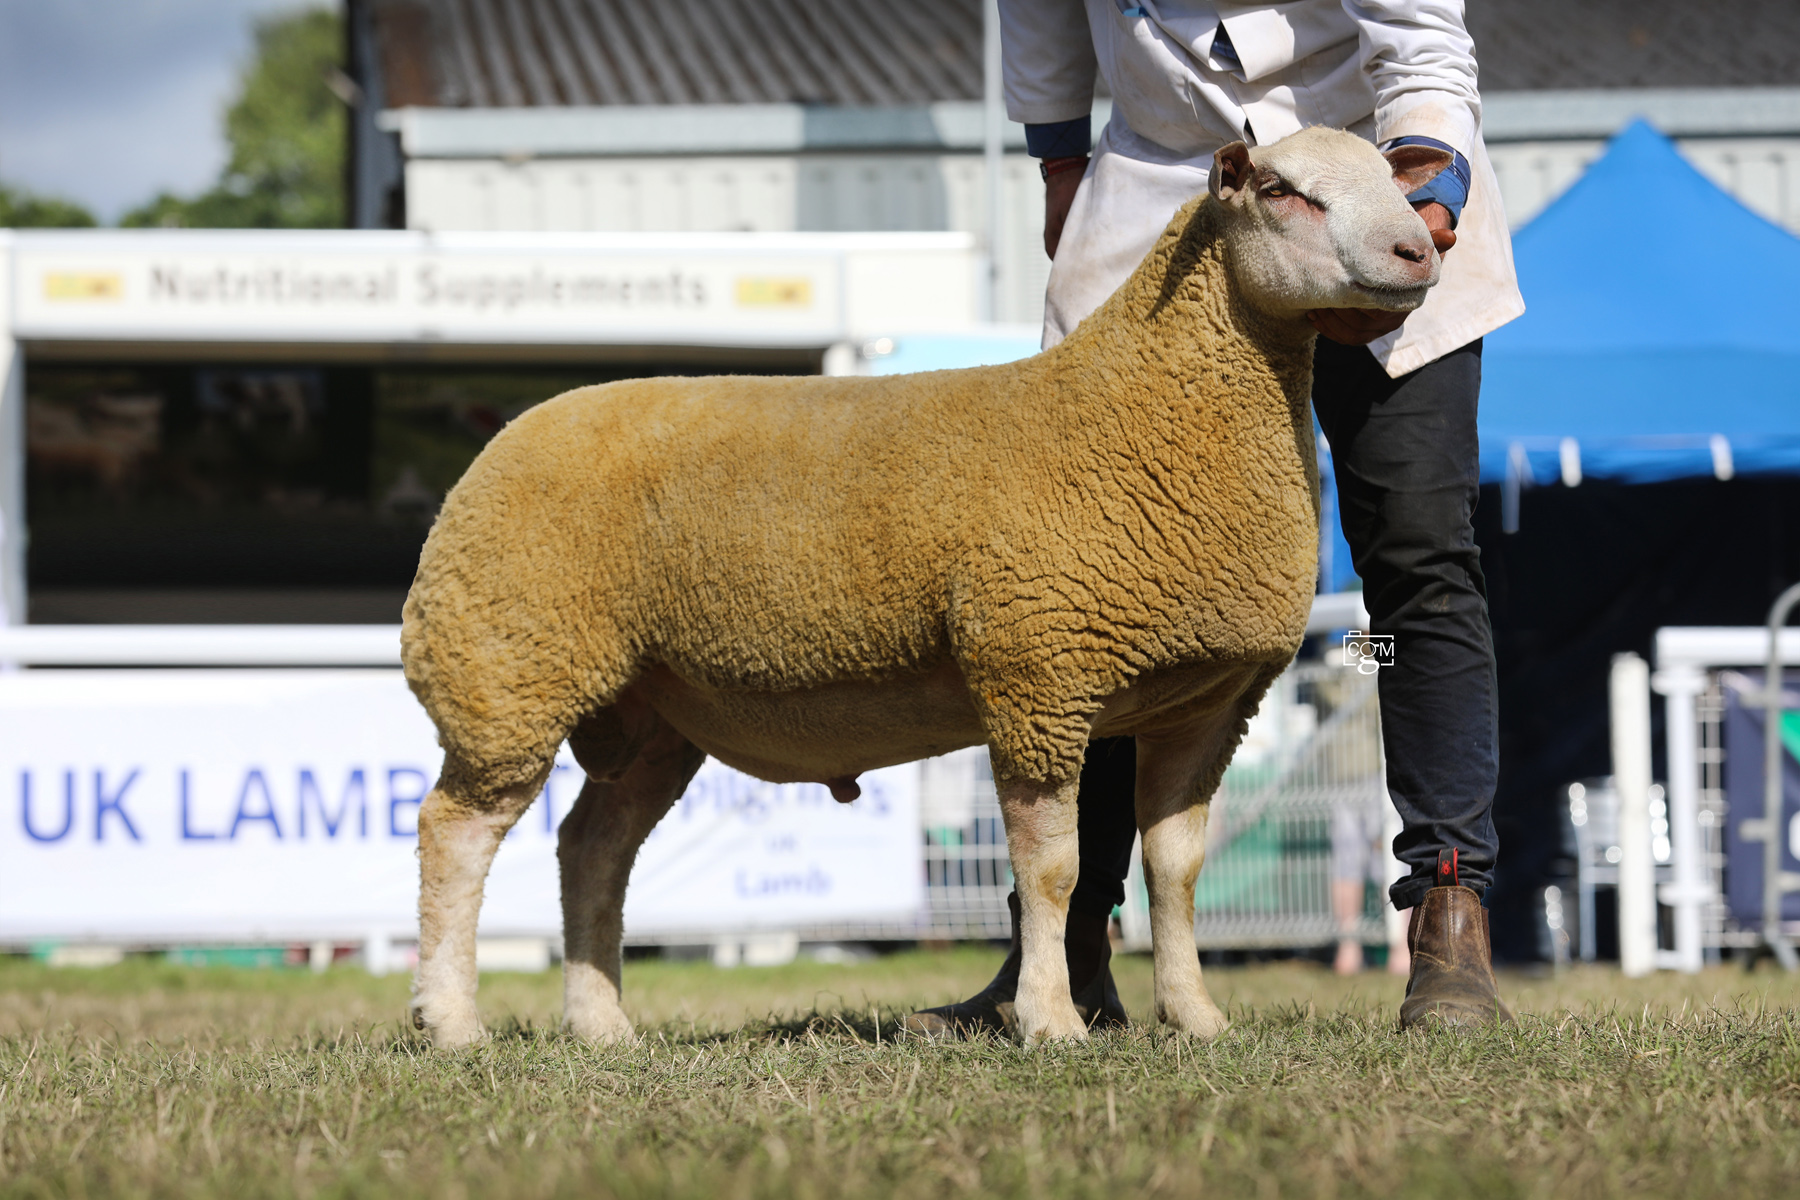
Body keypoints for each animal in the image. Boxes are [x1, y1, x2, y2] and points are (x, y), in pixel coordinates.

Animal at [400, 126, 1450, 1048]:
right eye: (1280, 190)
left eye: (1391, 181)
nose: (1417, 249)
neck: (1142, 410)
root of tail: (501, 441)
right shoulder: (1038, 678)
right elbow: (1054, 871)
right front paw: (1051, 1022)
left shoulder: (1208, 702)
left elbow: (1176, 869)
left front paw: (1195, 1020)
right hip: (510, 664)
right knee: (455, 832)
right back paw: (450, 1023)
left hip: (653, 707)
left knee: (592, 846)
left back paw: (600, 1025)